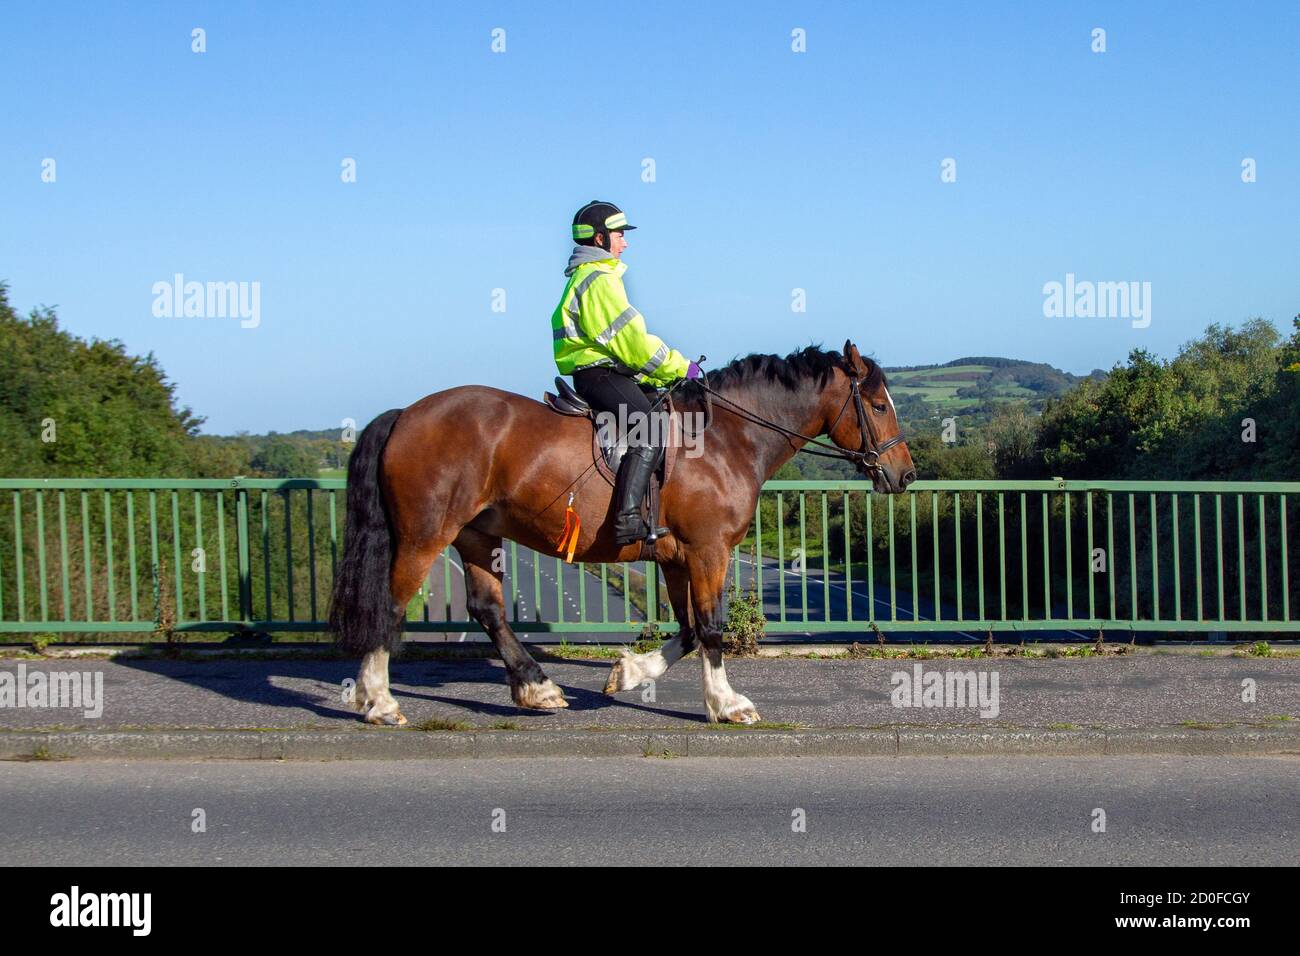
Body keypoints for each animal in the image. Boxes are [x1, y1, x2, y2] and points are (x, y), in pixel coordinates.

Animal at [328, 339, 915, 725]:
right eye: (878, 405)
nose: (904, 475)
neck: (727, 438)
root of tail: (406, 414)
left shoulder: (678, 556)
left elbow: (687, 629)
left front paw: (629, 673)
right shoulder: (708, 551)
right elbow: (711, 627)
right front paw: (726, 704)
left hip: (476, 533)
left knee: (488, 609)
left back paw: (536, 688)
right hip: (426, 534)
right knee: (391, 603)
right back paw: (379, 701)